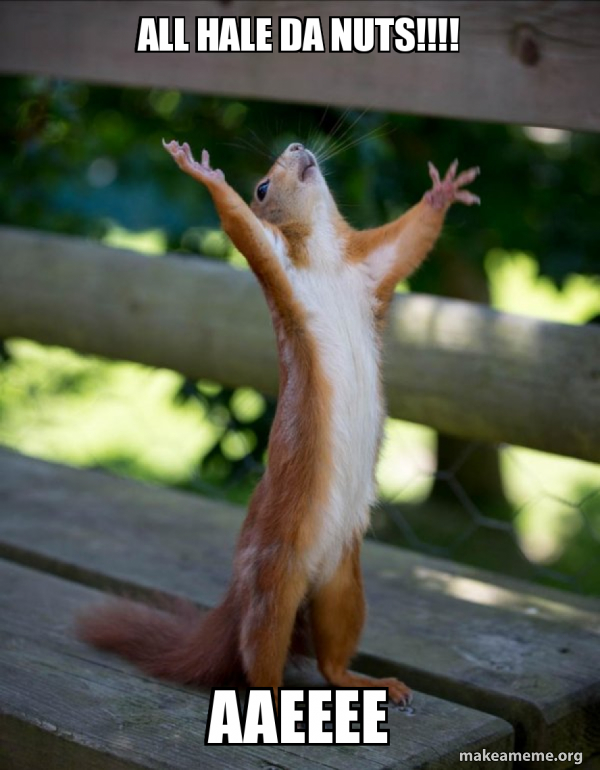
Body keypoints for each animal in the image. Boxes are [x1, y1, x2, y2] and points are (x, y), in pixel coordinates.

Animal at [77, 138, 480, 707]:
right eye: (262, 187)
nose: (296, 146)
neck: (327, 259)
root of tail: (238, 594)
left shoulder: (372, 267)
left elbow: (410, 240)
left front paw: (442, 192)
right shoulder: (277, 264)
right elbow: (240, 226)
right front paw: (203, 173)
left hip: (343, 585)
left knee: (332, 659)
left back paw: (369, 680)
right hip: (273, 582)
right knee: (260, 657)